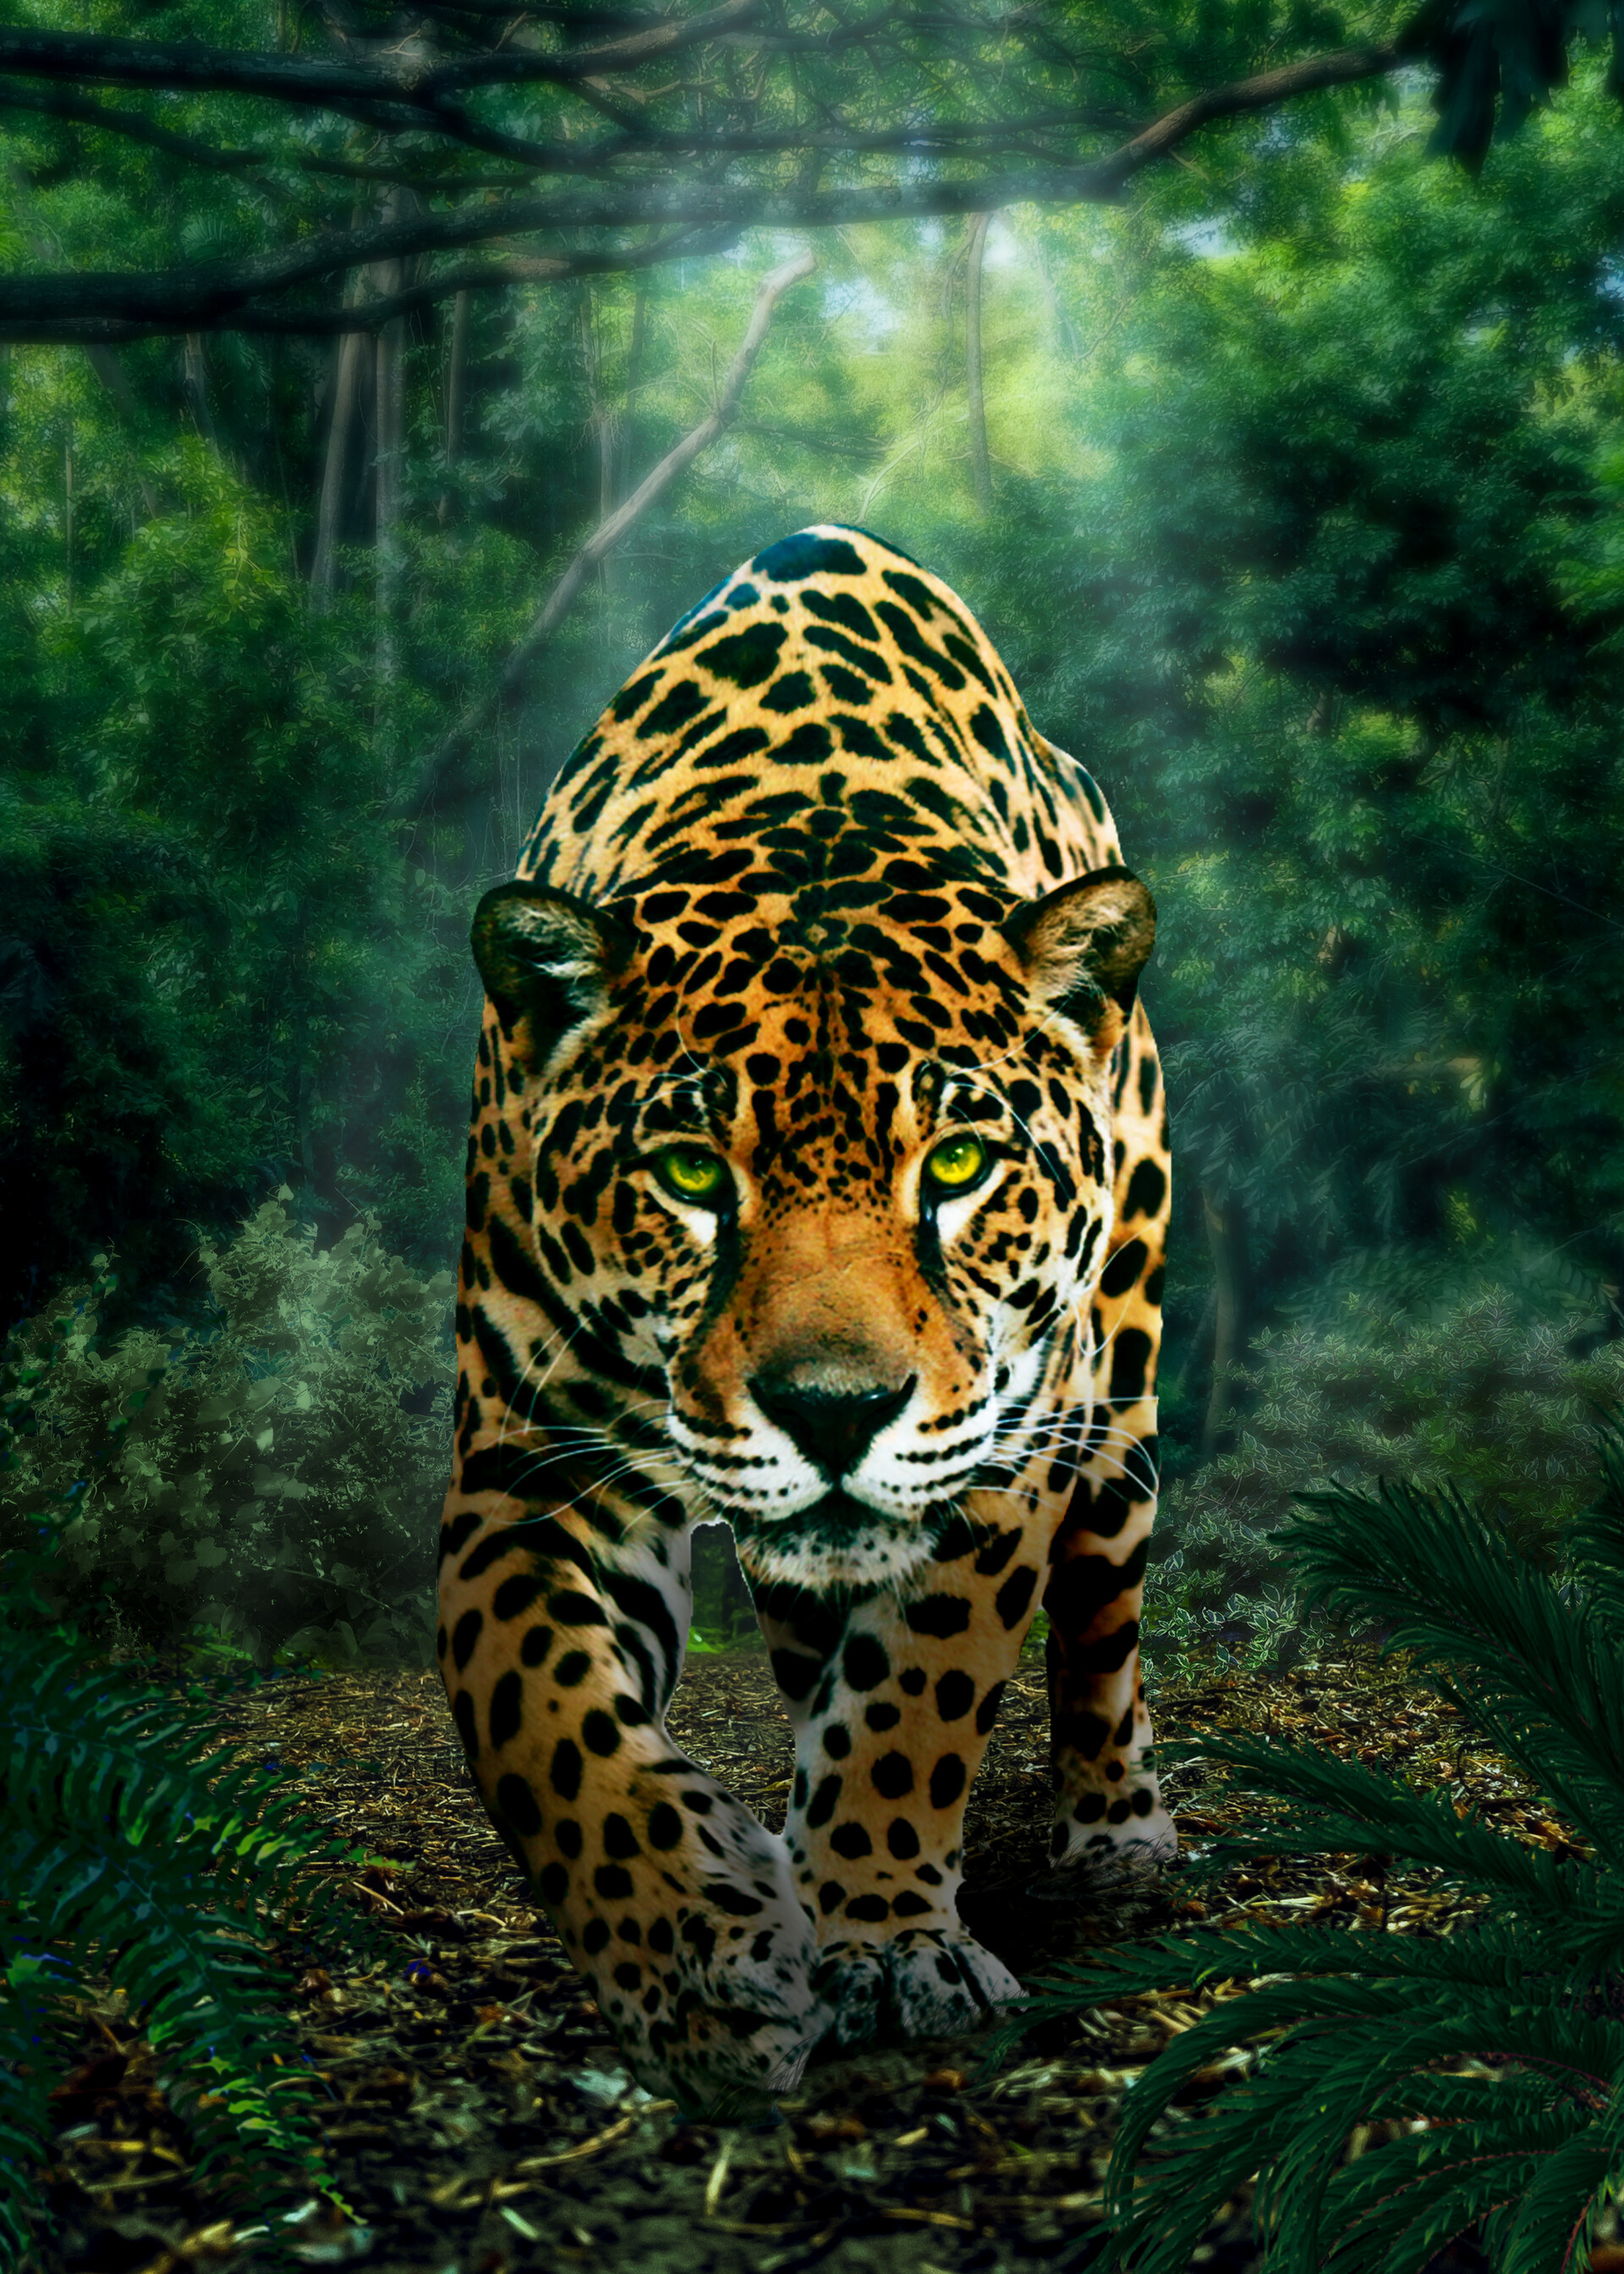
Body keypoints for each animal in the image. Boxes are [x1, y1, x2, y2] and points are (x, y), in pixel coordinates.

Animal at [437, 525, 1173, 2113]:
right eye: (690, 1174)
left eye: (955, 1165)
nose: (834, 1414)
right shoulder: (526, 1467)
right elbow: (546, 1719)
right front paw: (697, 1959)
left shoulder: (1000, 1447)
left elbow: (917, 1700)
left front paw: (886, 1941)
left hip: (1122, 1387)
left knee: (1105, 1603)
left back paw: (1117, 1827)